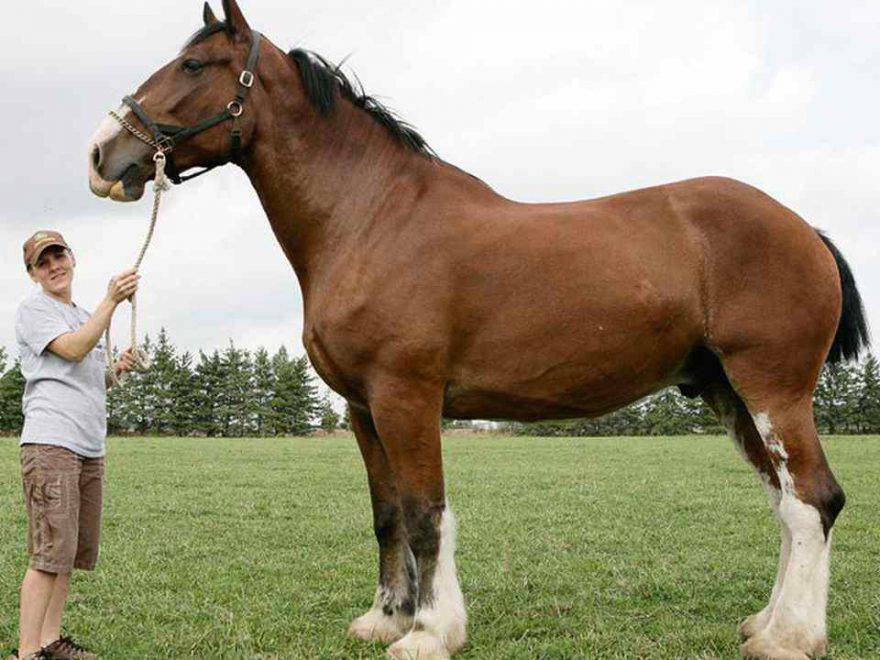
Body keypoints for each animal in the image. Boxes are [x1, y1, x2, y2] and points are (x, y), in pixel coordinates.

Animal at [87, 1, 869, 658]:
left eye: (194, 66)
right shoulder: (362, 407)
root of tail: (805, 229)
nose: (102, 156)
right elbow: (388, 514)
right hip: (728, 393)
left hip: (771, 389)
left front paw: (431, 632)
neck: (370, 217)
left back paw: (790, 638)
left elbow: (427, 514)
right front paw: (386, 618)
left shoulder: (406, 397)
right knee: (786, 505)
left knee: (813, 501)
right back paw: (766, 623)